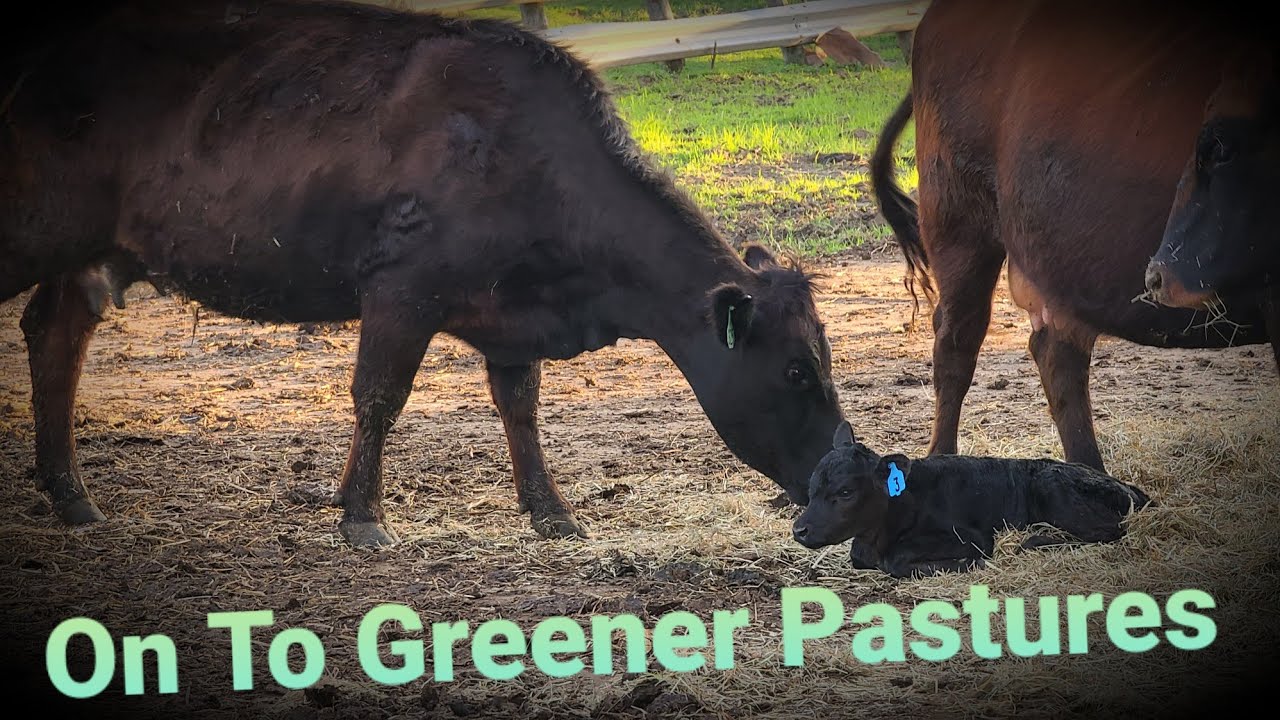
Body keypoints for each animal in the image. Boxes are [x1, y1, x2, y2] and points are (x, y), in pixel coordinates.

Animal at [0, 0, 845, 547]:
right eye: (797, 372)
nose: (834, 478)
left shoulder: (512, 319)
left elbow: (521, 408)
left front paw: (552, 512)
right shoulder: (402, 288)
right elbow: (379, 397)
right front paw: (363, 518)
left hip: (94, 250)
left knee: (56, 332)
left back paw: (74, 498)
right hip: (38, 226)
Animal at [790, 422, 1152, 578]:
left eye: (845, 492)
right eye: (812, 486)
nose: (799, 530)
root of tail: (1129, 487)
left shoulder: (973, 537)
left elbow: (897, 562)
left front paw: (966, 564)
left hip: (1054, 488)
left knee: (1108, 532)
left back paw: (1035, 541)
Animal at [870, 0, 1275, 474]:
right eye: (1212, 147)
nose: (1161, 273)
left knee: (1056, 354)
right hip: (960, 227)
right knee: (957, 342)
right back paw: (943, 459)